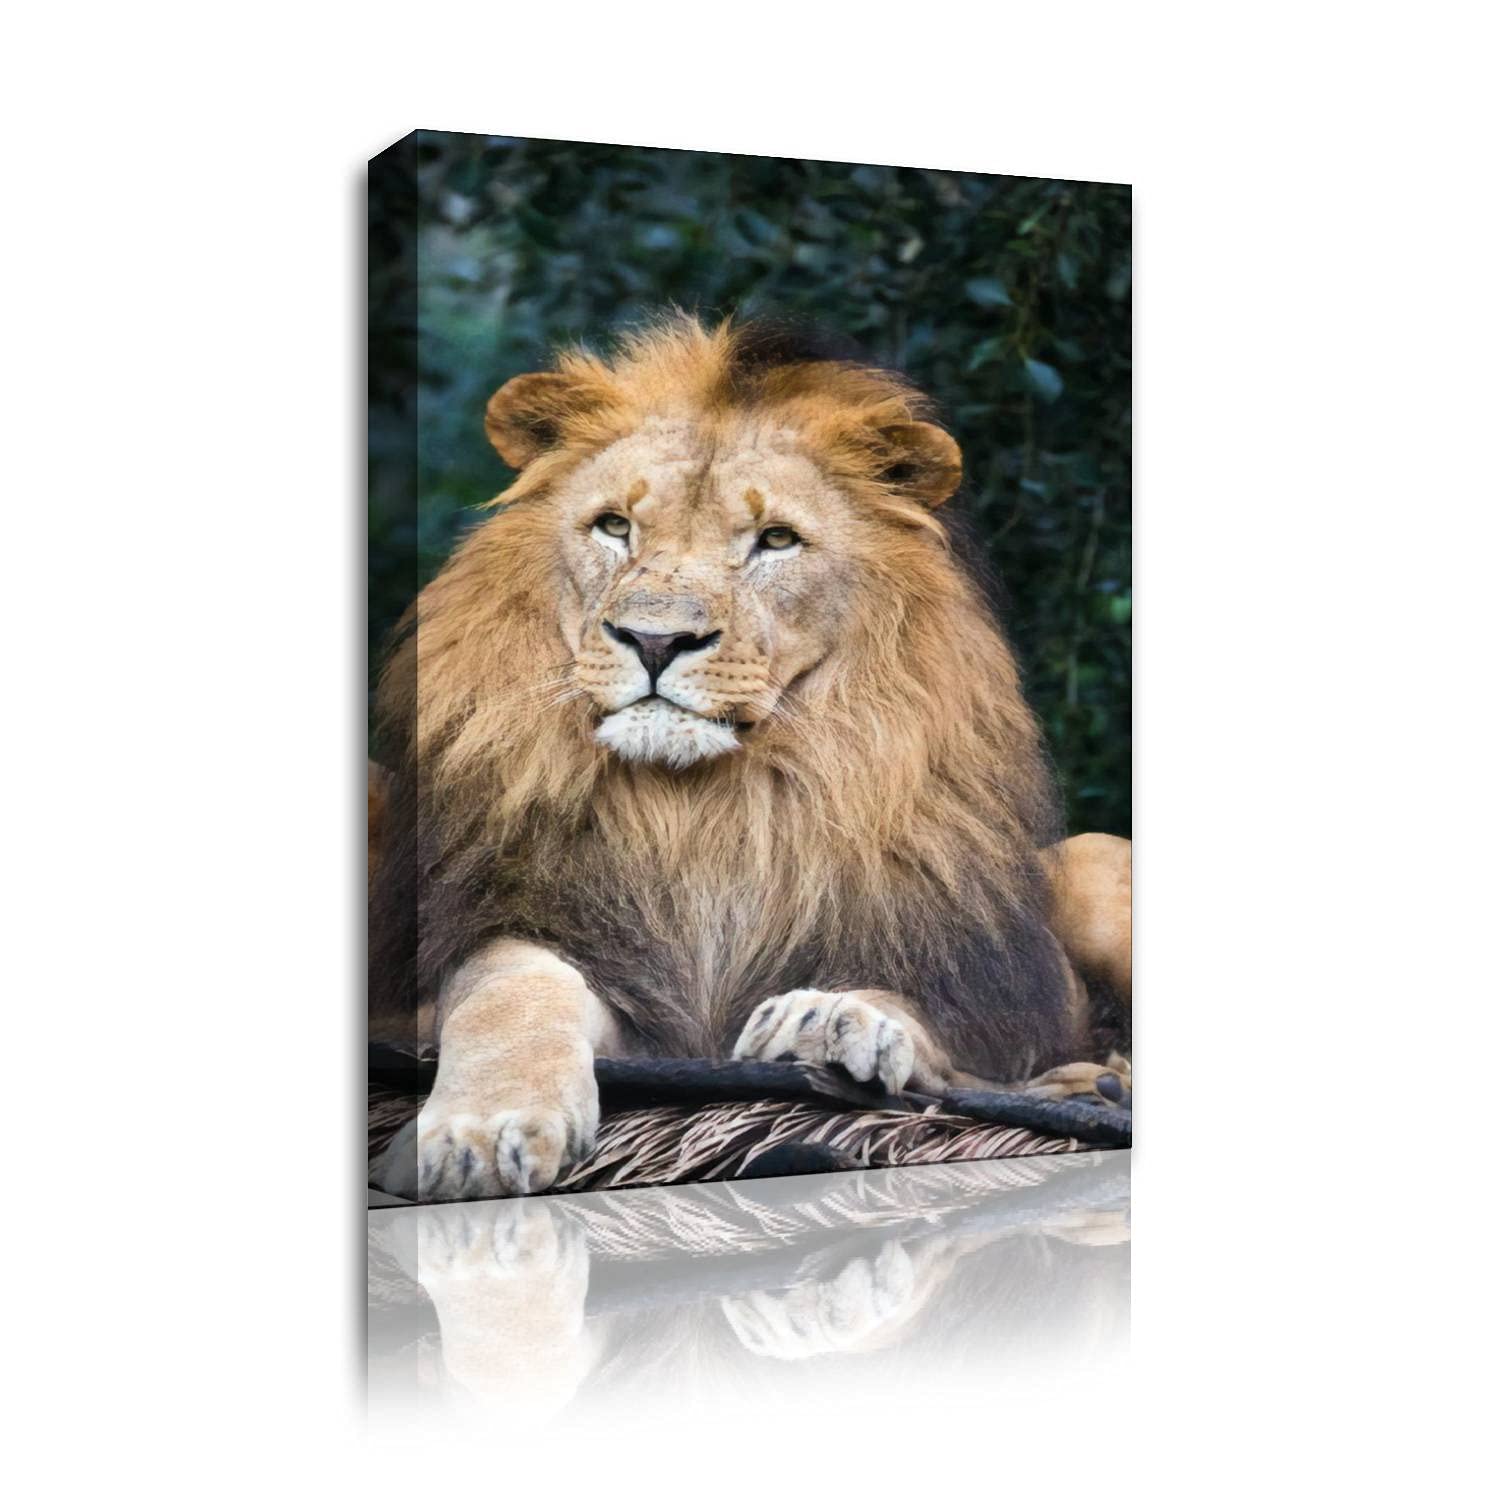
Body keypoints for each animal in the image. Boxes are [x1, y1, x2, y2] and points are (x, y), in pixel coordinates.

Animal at [370, 315, 1131, 1201]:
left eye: (776, 541)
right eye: (615, 526)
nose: (655, 639)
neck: (706, 809)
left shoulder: (967, 977)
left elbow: (917, 1012)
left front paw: (830, 1017)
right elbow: (512, 987)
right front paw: (479, 1131)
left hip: (1096, 861)